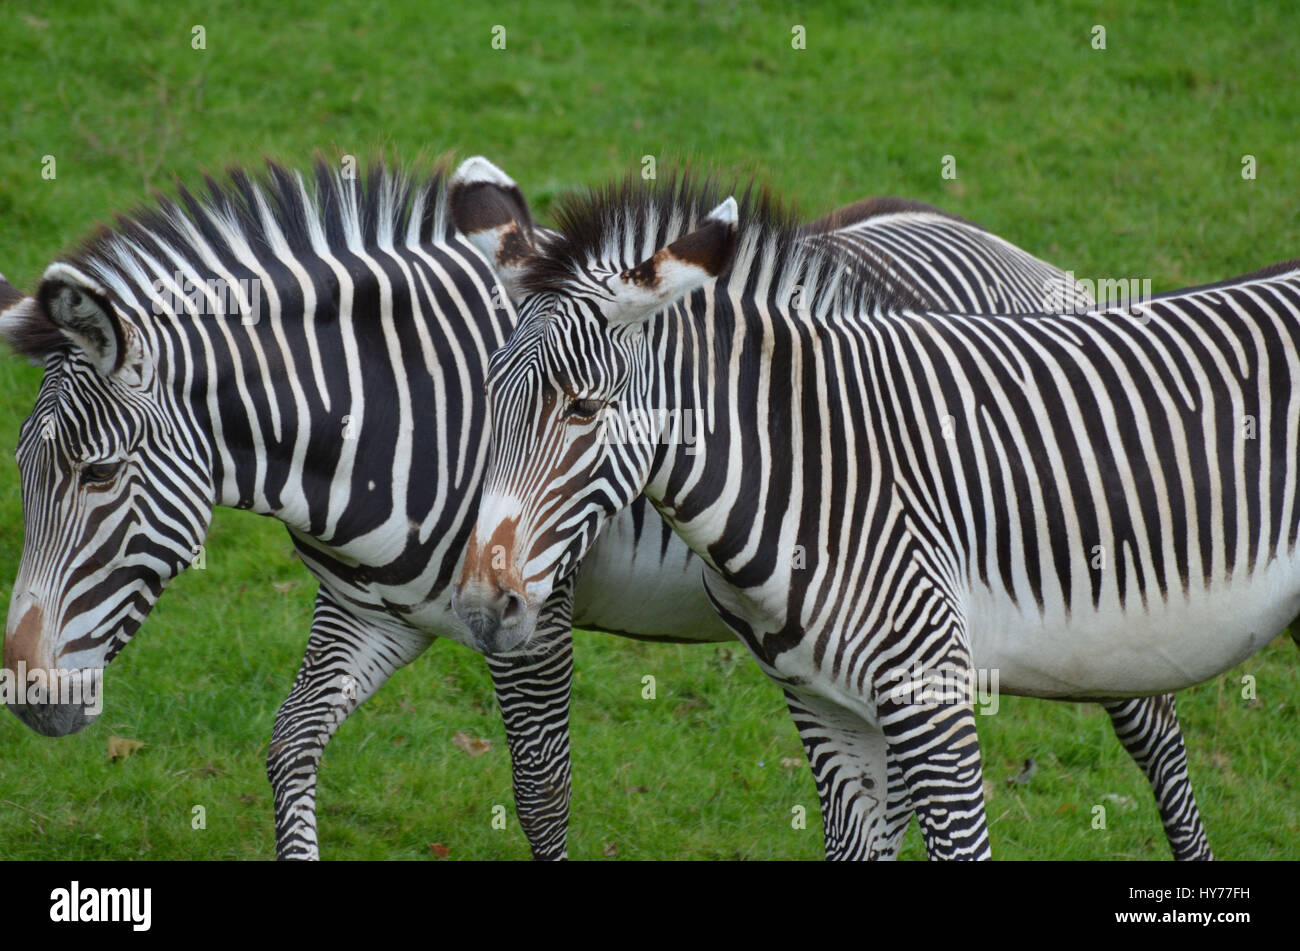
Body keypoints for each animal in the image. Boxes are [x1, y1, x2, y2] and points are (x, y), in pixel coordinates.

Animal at [0, 156, 1202, 861]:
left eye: (98, 477)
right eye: (22, 473)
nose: (28, 696)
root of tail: (1020, 258)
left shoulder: (530, 616)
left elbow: (540, 792)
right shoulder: (373, 611)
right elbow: (289, 749)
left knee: (1154, 732)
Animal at [450, 166, 1299, 859]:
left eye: (584, 410)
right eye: (485, 395)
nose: (482, 608)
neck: (812, 467)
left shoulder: (933, 691)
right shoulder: (827, 703)